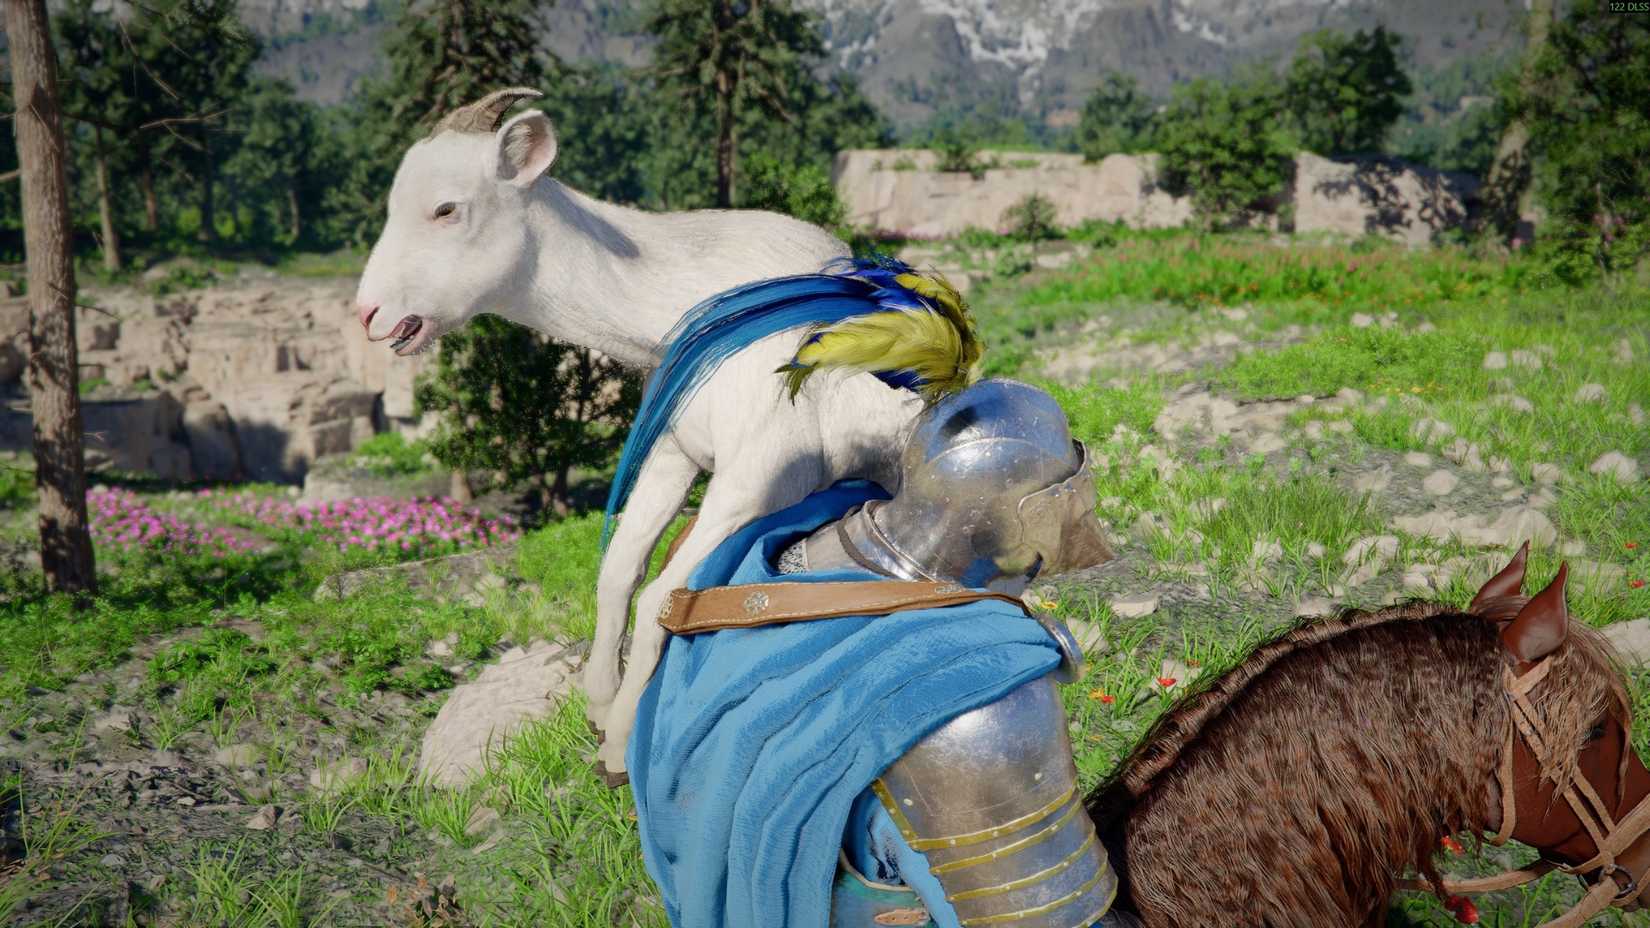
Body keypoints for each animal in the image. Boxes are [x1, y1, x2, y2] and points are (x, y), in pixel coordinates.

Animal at [354, 89, 917, 774]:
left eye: (445, 209)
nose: (369, 313)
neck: (691, 302)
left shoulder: (756, 482)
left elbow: (666, 599)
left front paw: (621, 743)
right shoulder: (673, 453)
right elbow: (620, 570)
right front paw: (599, 702)